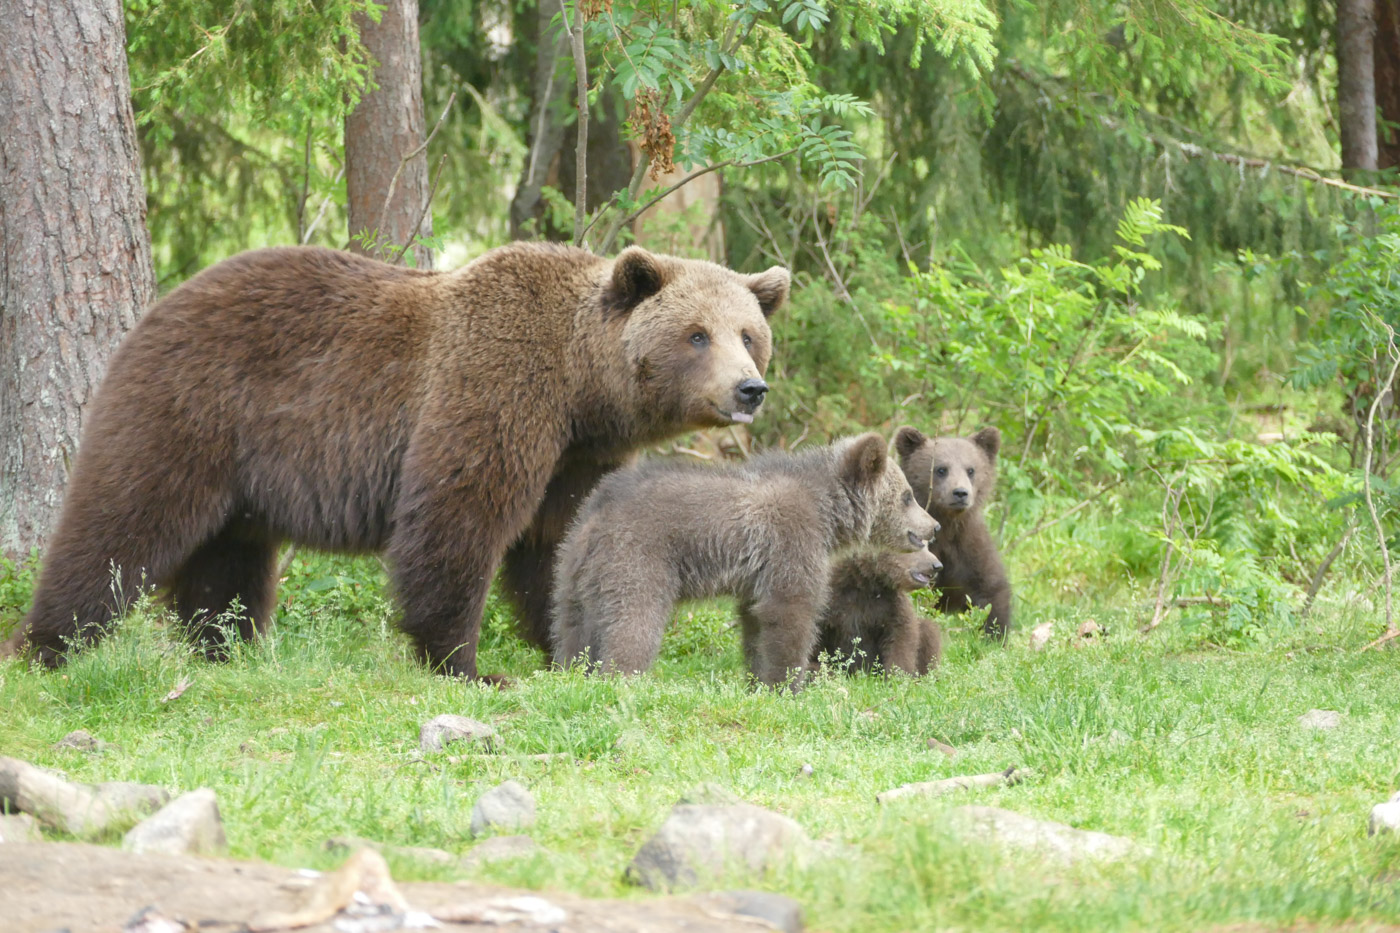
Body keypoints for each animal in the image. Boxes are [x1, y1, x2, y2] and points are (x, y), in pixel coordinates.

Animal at [13, 242, 790, 679]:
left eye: (749, 333)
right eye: (696, 334)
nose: (749, 389)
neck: (579, 390)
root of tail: (159, 306)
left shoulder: (574, 460)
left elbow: (557, 544)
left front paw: (565, 646)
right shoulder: (493, 387)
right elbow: (457, 519)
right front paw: (465, 664)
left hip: (241, 477)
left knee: (226, 563)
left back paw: (230, 650)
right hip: (189, 410)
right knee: (118, 526)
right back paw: (45, 645)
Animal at [810, 546, 945, 676]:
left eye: (927, 545)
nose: (937, 566)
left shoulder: (890, 605)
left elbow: (901, 636)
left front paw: (896, 675)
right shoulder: (833, 600)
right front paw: (819, 670)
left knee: (928, 631)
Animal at [893, 425, 1012, 640]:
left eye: (971, 470)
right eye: (941, 469)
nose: (960, 493)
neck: (947, 524)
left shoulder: (970, 545)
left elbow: (991, 590)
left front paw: (994, 634)